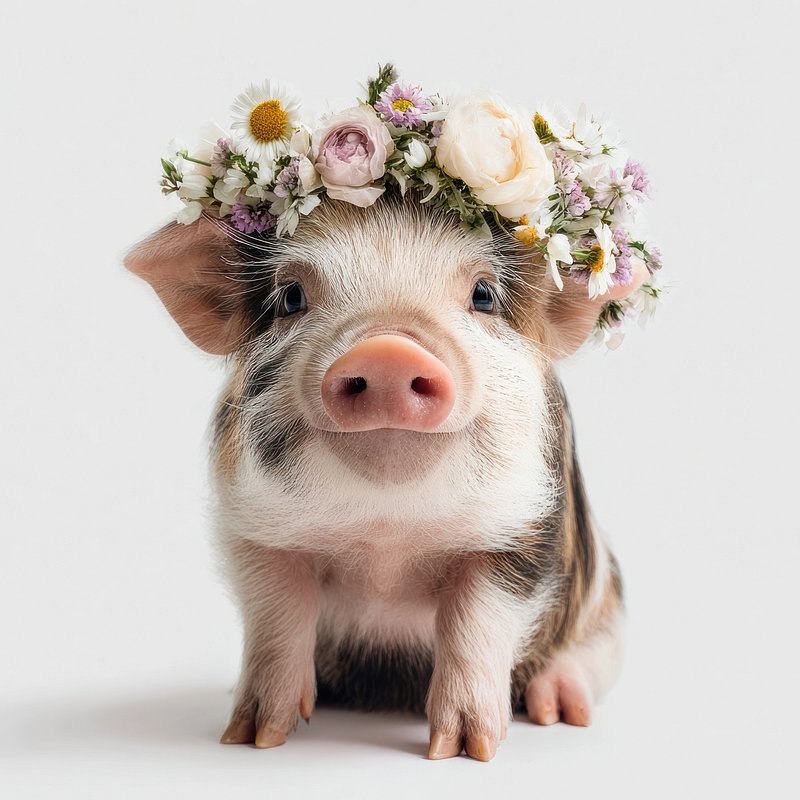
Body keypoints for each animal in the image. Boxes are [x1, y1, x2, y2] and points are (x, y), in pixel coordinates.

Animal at [125, 194, 645, 761]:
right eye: (291, 296)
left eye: (484, 295)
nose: (388, 352)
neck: (387, 536)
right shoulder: (251, 525)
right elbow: (276, 614)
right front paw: (253, 736)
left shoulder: (526, 525)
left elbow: (475, 620)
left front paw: (465, 749)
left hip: (609, 612)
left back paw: (559, 708)